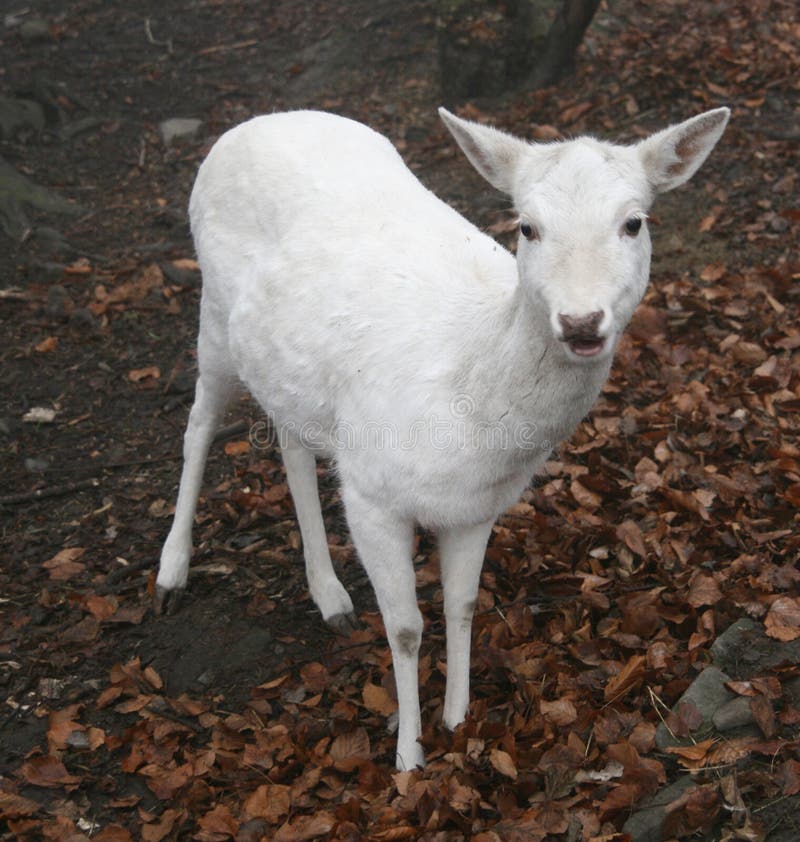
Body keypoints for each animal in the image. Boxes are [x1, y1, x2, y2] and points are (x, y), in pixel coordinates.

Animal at [155, 105, 729, 769]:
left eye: (634, 222)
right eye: (527, 226)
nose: (582, 321)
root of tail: (251, 123)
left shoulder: (477, 507)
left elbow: (462, 604)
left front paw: (457, 719)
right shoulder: (371, 494)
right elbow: (406, 629)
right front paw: (409, 757)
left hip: (285, 371)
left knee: (291, 443)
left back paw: (330, 596)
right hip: (212, 313)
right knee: (197, 425)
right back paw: (170, 575)